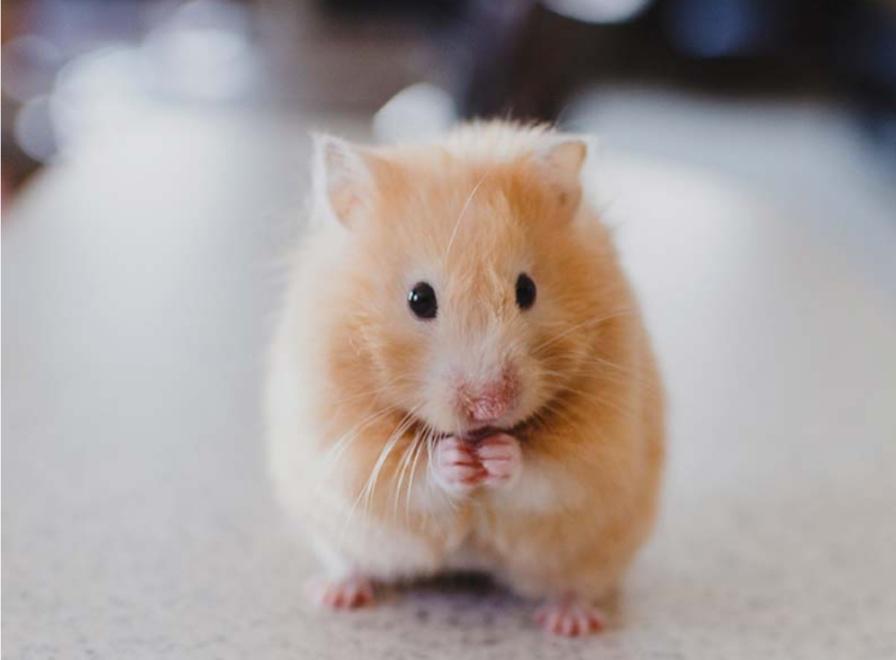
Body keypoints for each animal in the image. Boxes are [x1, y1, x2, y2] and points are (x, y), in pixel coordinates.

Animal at [266, 121, 664, 637]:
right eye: (419, 298)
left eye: (527, 290)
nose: (489, 405)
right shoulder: (341, 441)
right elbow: (408, 475)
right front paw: (455, 459)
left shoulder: (601, 445)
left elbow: (548, 473)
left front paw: (498, 455)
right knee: (350, 563)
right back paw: (336, 594)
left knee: (577, 584)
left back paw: (569, 622)